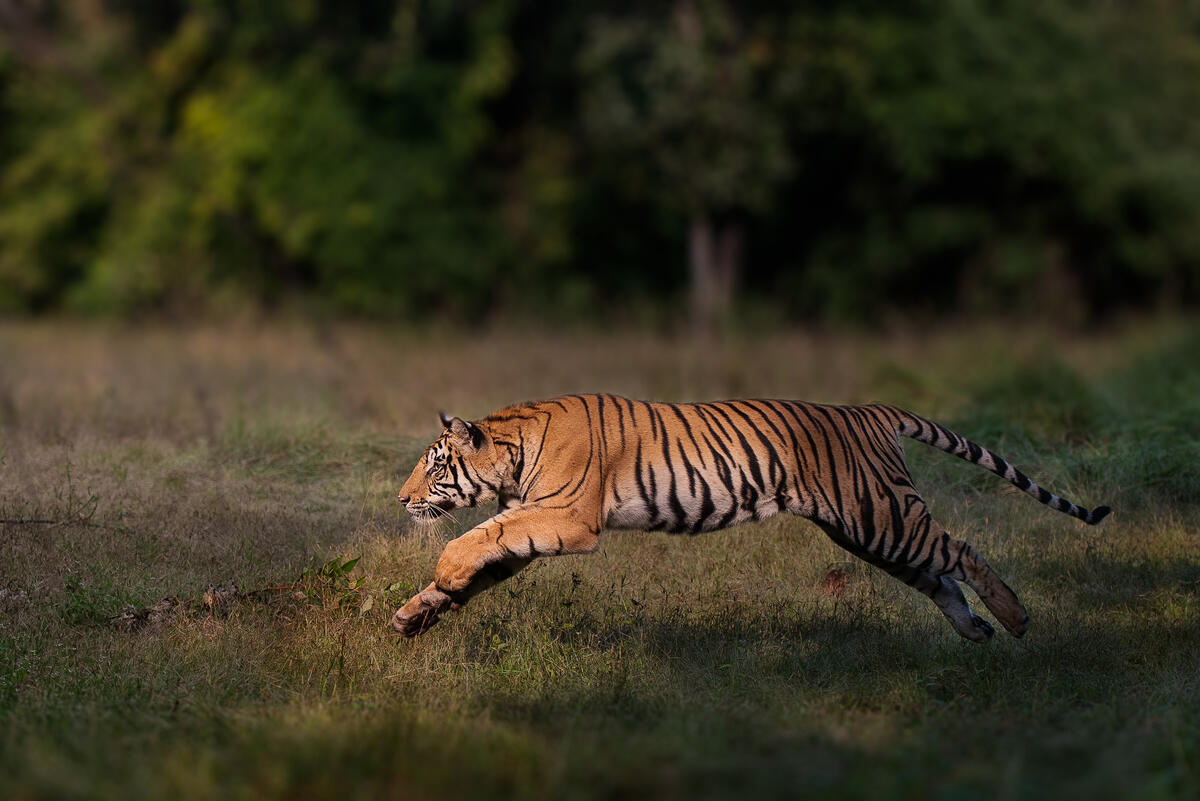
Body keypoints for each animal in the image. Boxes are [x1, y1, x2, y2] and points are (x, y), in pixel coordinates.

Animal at [392, 394, 1110, 642]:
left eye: (434, 466)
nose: (399, 499)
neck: (512, 451)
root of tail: (871, 410)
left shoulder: (567, 518)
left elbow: (477, 536)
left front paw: (443, 573)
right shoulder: (535, 522)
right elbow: (484, 556)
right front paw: (417, 612)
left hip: (882, 516)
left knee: (961, 551)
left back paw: (1014, 619)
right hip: (870, 532)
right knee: (938, 576)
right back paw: (975, 630)